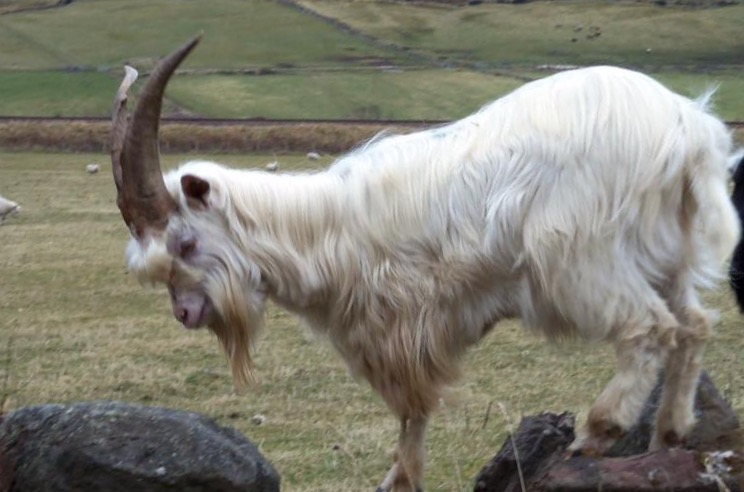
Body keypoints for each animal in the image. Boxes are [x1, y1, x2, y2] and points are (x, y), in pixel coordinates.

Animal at [111, 37, 740, 491]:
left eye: (185, 244)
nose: (184, 314)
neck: (324, 231)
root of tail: (687, 132)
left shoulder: (401, 323)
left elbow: (411, 409)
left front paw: (401, 476)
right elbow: (413, 409)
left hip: (583, 257)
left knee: (648, 327)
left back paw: (599, 431)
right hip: (665, 254)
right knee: (693, 325)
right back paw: (670, 433)